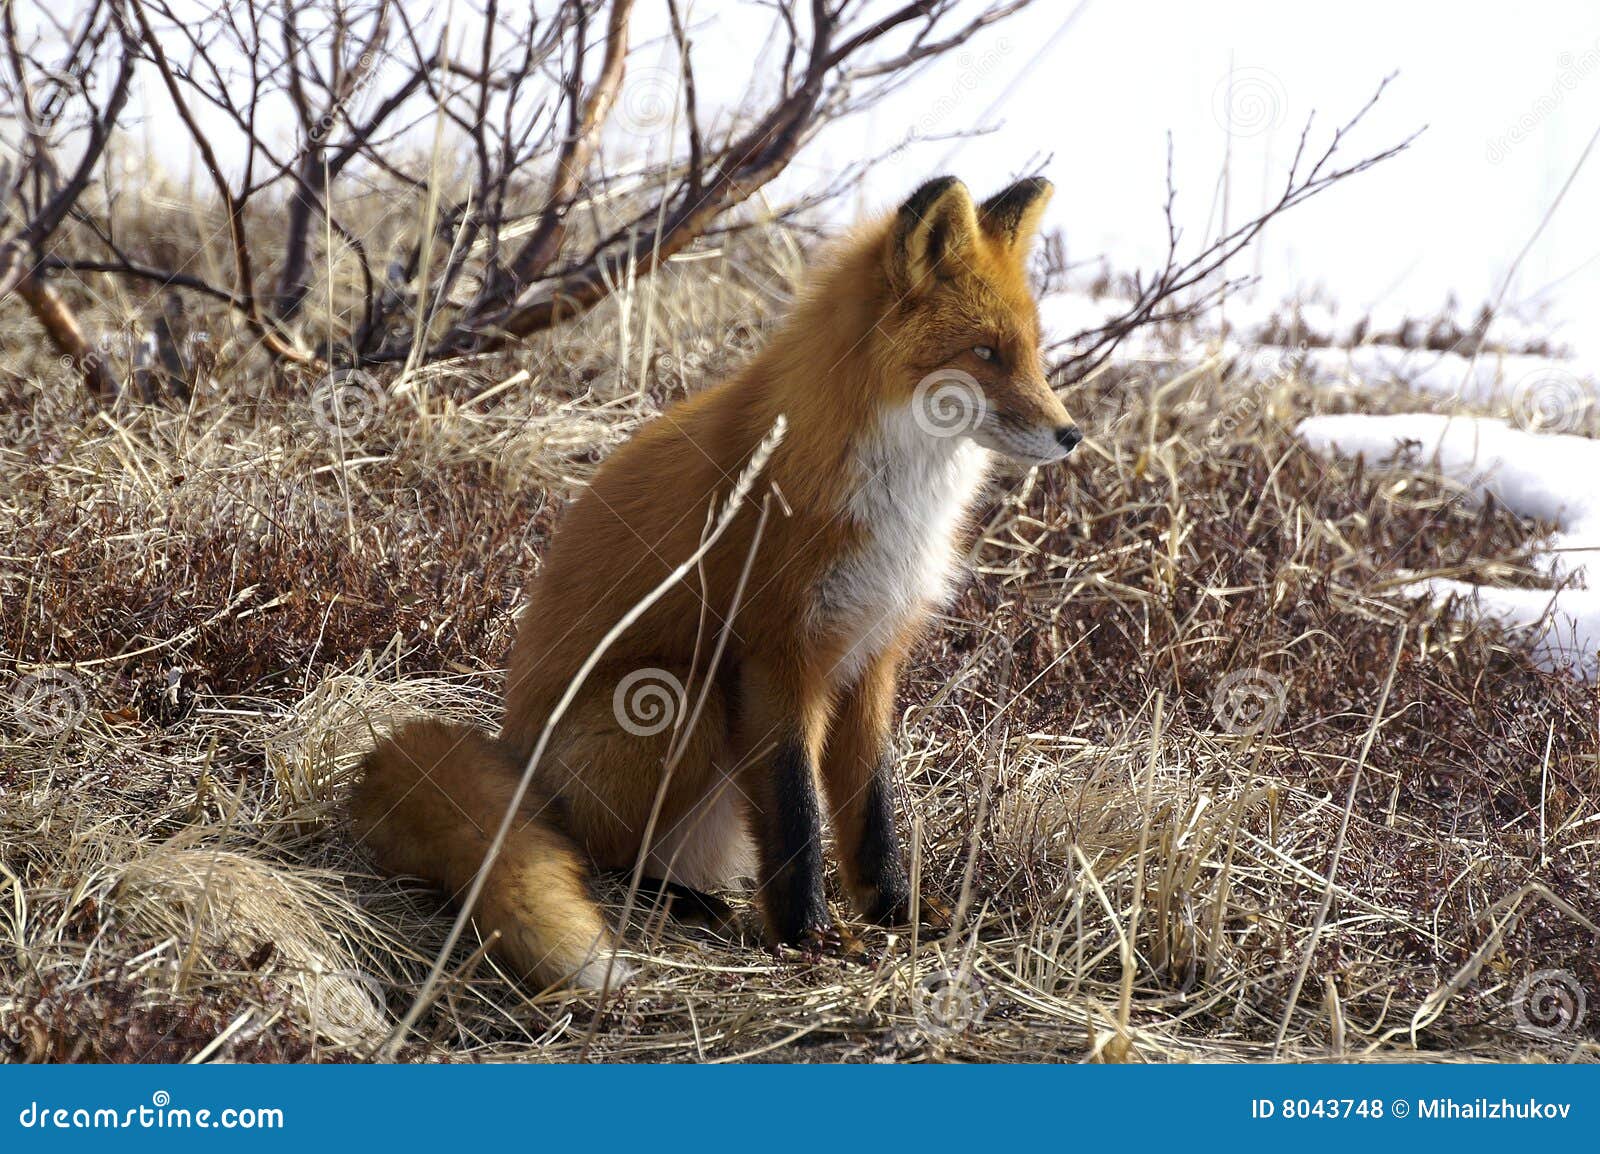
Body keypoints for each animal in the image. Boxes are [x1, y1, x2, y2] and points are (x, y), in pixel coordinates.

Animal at [351, 175, 1080, 988]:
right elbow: (796, 812)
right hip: (677, 699)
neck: (895, 501)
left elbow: (870, 808)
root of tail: (519, 761)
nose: (1071, 434)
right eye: (984, 352)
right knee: (592, 853)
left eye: (1032, 352)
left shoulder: (874, 654)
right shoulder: (777, 656)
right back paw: (672, 898)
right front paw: (808, 934)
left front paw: (896, 911)